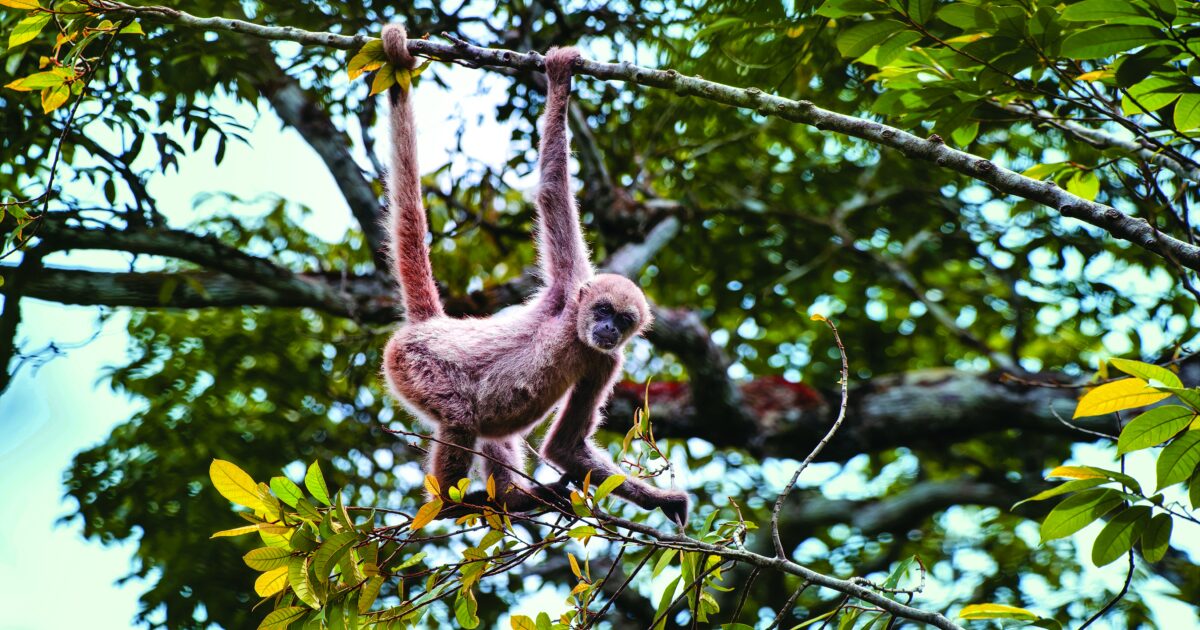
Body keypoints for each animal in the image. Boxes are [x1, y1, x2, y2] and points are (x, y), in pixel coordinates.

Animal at [378, 24, 689, 525]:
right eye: (603, 310)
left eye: (623, 321)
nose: (606, 328)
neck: (574, 330)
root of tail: (432, 326)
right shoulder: (568, 285)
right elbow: (551, 190)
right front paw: (560, 81)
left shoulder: (607, 361)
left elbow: (564, 447)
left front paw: (663, 501)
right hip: (413, 363)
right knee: (461, 418)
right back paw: (450, 503)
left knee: (492, 430)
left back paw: (512, 498)